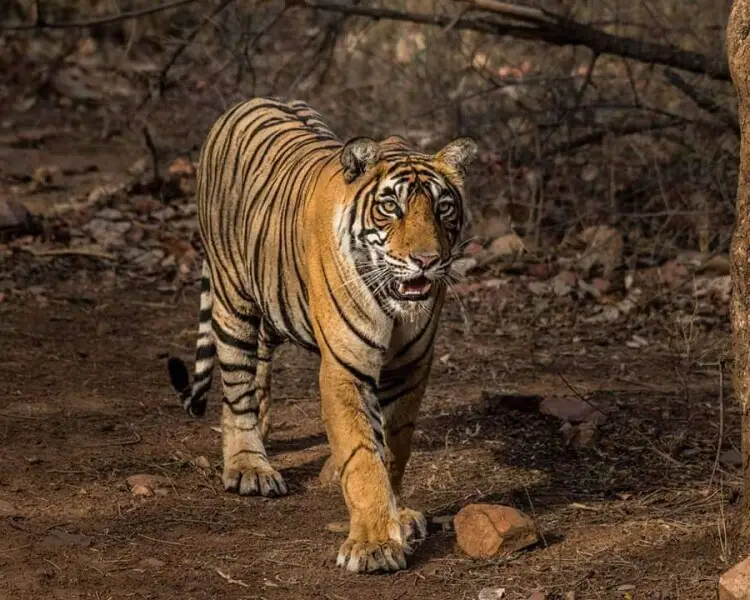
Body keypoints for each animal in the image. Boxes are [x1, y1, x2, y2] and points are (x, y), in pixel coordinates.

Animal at [167, 96, 477, 573]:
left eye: (443, 207)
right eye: (391, 207)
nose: (426, 261)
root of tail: (250, 100)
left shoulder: (411, 369)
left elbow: (394, 446)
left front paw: (398, 517)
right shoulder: (345, 368)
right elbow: (363, 455)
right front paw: (373, 545)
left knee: (259, 363)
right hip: (232, 298)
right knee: (236, 385)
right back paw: (249, 466)